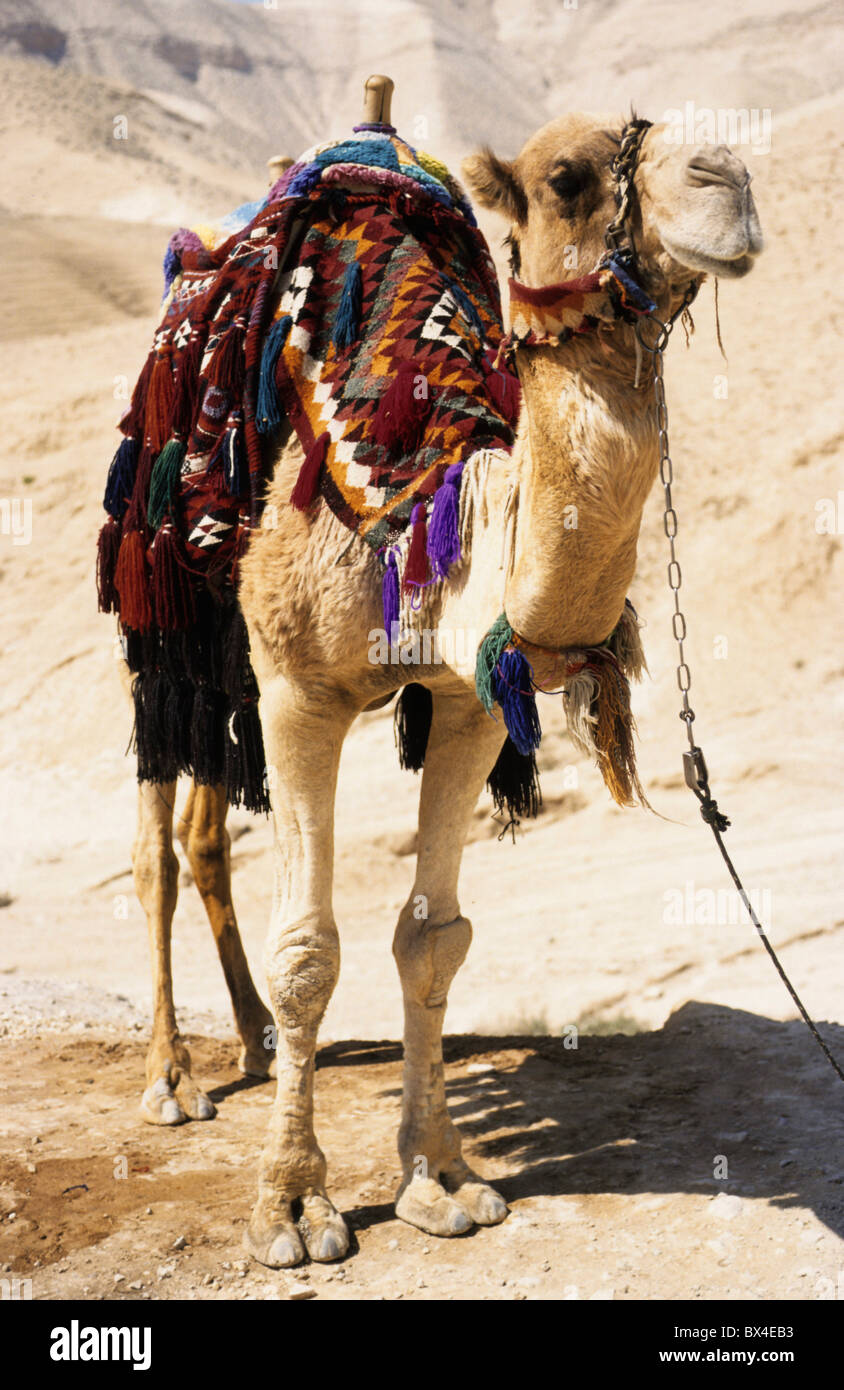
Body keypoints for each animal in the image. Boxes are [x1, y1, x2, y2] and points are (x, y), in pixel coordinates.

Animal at [125, 90, 762, 1267]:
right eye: (567, 176)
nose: (728, 180)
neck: (427, 498)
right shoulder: (300, 691)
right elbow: (309, 950)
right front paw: (294, 1207)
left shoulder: (469, 702)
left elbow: (431, 942)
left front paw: (445, 1179)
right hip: (163, 633)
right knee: (154, 849)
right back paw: (173, 1078)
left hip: (227, 677)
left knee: (203, 835)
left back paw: (250, 1043)